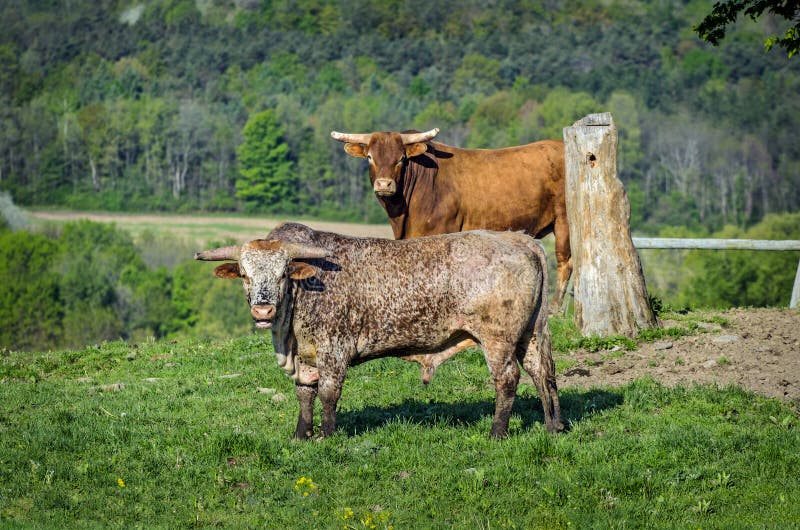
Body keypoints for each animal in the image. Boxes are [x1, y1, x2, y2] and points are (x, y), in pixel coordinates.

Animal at [195, 222, 564, 439]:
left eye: (284, 273)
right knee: (542, 373)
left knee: (508, 379)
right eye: (245, 274)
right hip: (530, 333)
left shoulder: (334, 349)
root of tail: (520, 240)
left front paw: (328, 435)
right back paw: (553, 425)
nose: (263, 309)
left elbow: (328, 393)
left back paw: (497, 432)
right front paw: (301, 435)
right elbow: (304, 393)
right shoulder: (306, 356)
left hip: (498, 339)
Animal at [330, 128, 571, 311]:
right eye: (370, 157)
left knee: (565, 262)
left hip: (564, 220)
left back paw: (555, 308)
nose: (384, 184)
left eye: (401, 159)